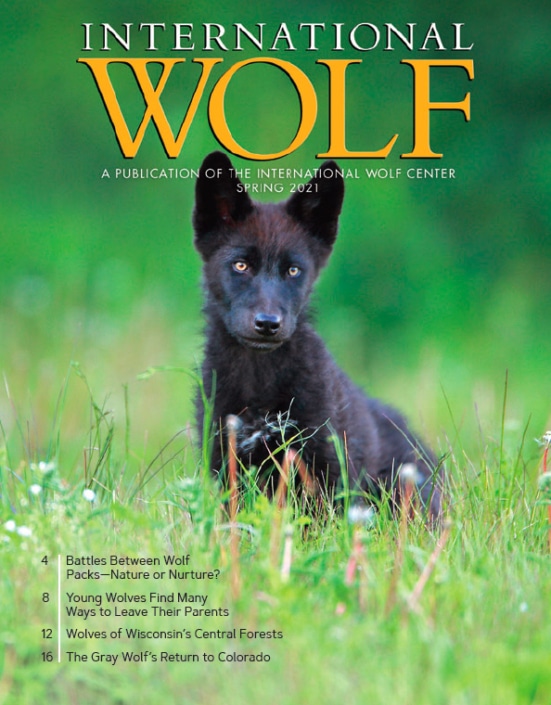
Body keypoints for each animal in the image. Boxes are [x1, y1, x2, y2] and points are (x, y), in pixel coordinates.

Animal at [193, 151, 441, 518]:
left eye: (293, 270)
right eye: (241, 266)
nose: (268, 324)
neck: (259, 379)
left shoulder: (326, 465)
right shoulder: (225, 462)